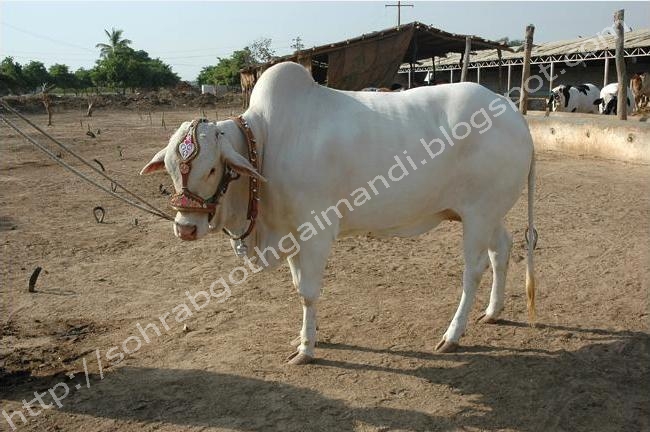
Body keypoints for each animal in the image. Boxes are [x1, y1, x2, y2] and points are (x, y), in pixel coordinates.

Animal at [141, 62, 537, 365]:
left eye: (211, 169)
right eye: (172, 170)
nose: (185, 228)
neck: (265, 143)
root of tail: (511, 111)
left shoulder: (315, 233)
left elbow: (308, 292)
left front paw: (306, 349)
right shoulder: (290, 234)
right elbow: (298, 287)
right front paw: (305, 336)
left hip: (479, 214)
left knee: (474, 270)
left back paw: (452, 335)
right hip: (489, 212)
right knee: (502, 249)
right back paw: (493, 311)